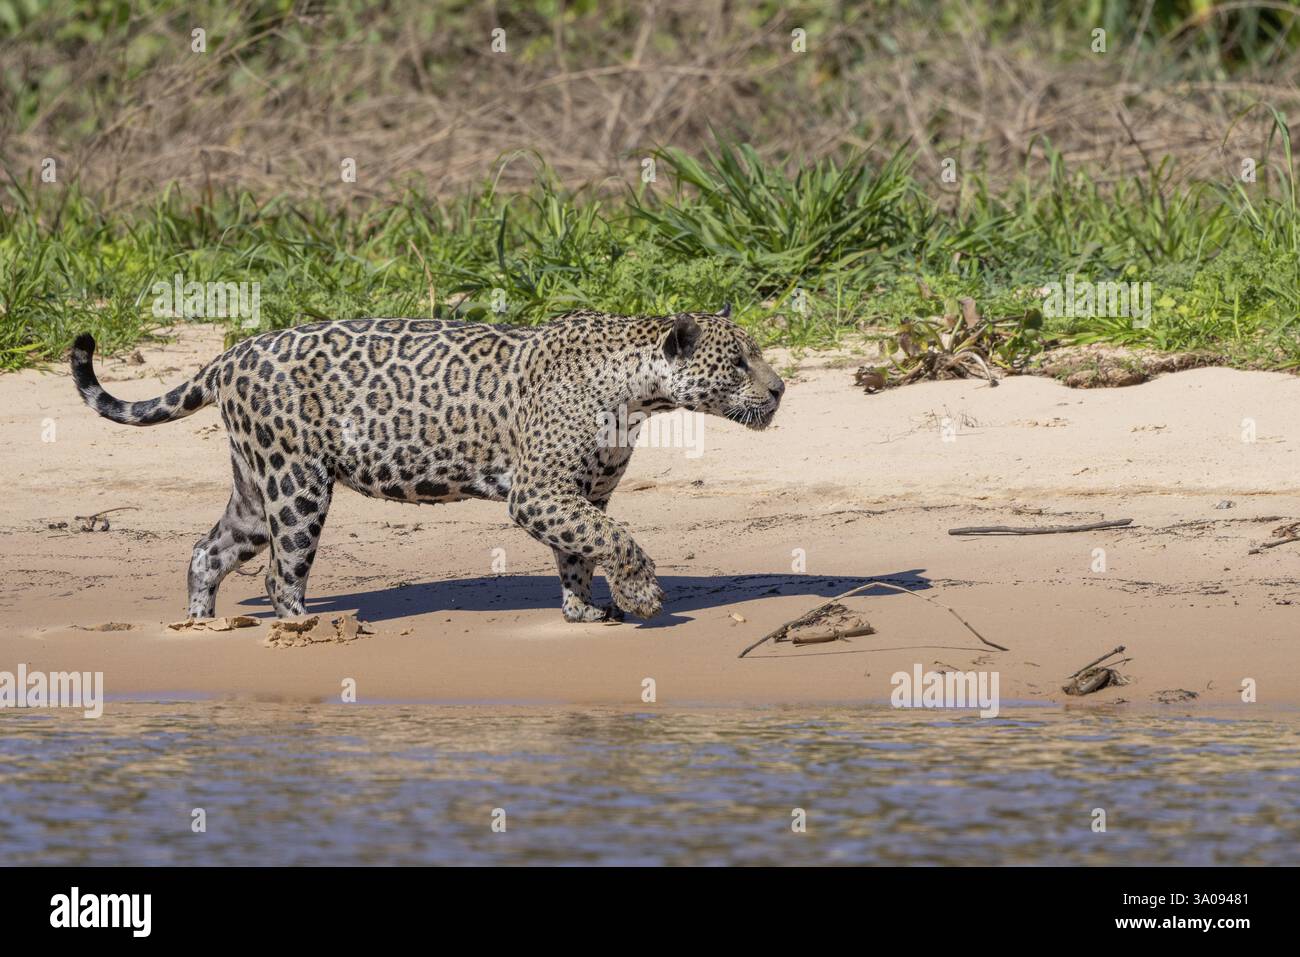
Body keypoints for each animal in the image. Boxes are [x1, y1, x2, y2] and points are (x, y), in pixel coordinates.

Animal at [70, 308, 785, 623]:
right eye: (739, 361)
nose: (781, 389)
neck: (639, 393)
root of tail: (229, 354)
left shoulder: (580, 491)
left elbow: (581, 549)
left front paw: (582, 611)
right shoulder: (539, 491)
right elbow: (614, 539)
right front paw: (642, 596)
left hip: (256, 486)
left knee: (207, 549)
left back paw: (202, 625)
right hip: (297, 485)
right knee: (279, 571)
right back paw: (307, 627)